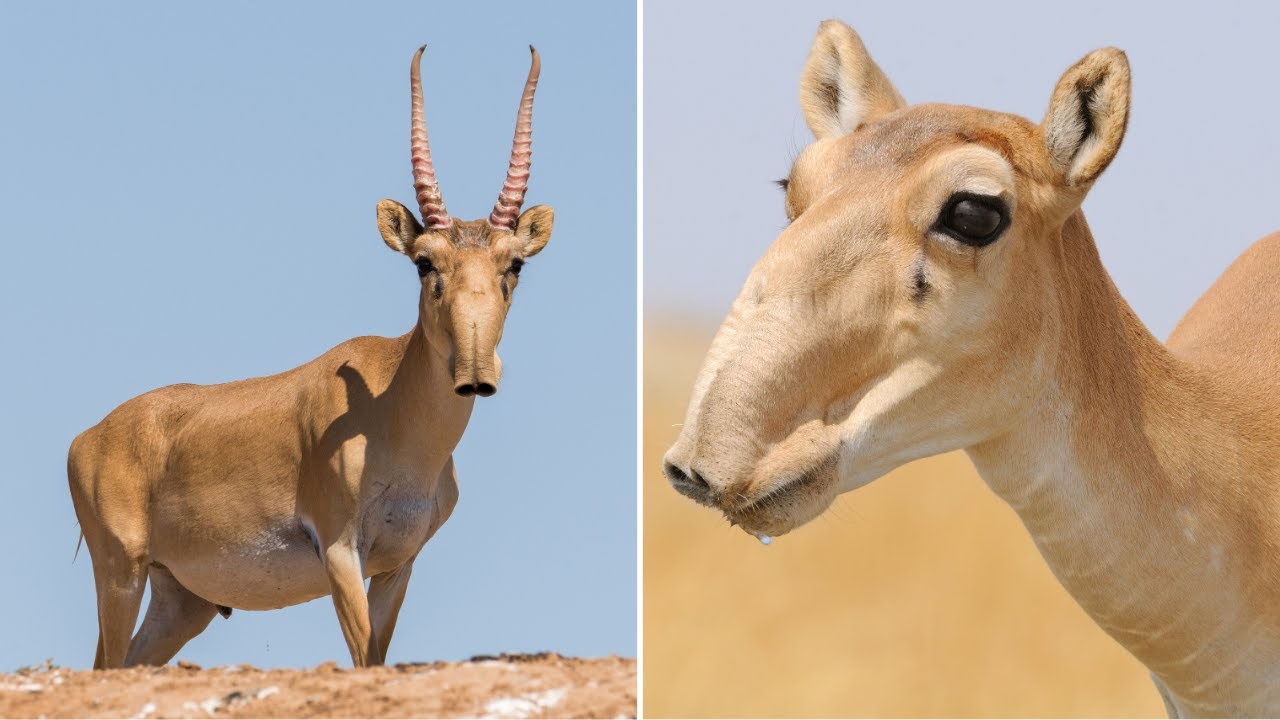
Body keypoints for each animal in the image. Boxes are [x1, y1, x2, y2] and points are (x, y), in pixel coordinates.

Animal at [67, 45, 554, 669]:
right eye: (424, 262)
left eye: (514, 264)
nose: (475, 375)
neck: (390, 413)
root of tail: (87, 438)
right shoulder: (341, 553)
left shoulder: (397, 566)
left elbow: (377, 658)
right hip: (120, 575)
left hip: (182, 600)